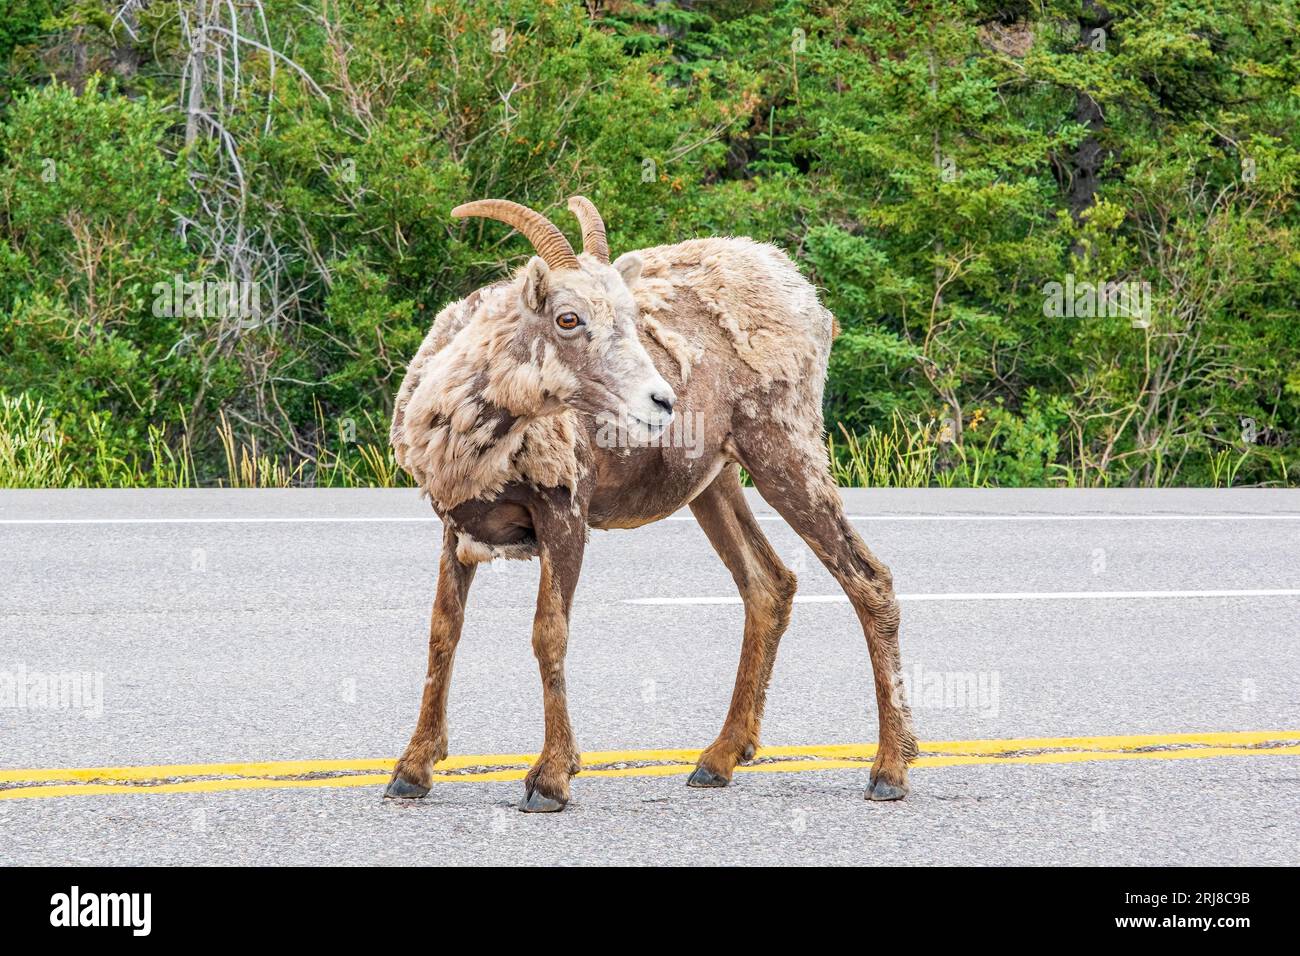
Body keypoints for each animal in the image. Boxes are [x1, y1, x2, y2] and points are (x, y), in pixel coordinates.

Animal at [385, 197, 917, 811]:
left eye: (630, 319)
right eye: (568, 318)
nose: (661, 401)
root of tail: (809, 299)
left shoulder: (565, 516)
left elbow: (549, 634)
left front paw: (550, 780)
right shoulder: (456, 529)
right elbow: (442, 633)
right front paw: (411, 771)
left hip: (785, 454)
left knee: (867, 579)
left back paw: (889, 771)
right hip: (716, 484)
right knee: (769, 585)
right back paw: (716, 761)